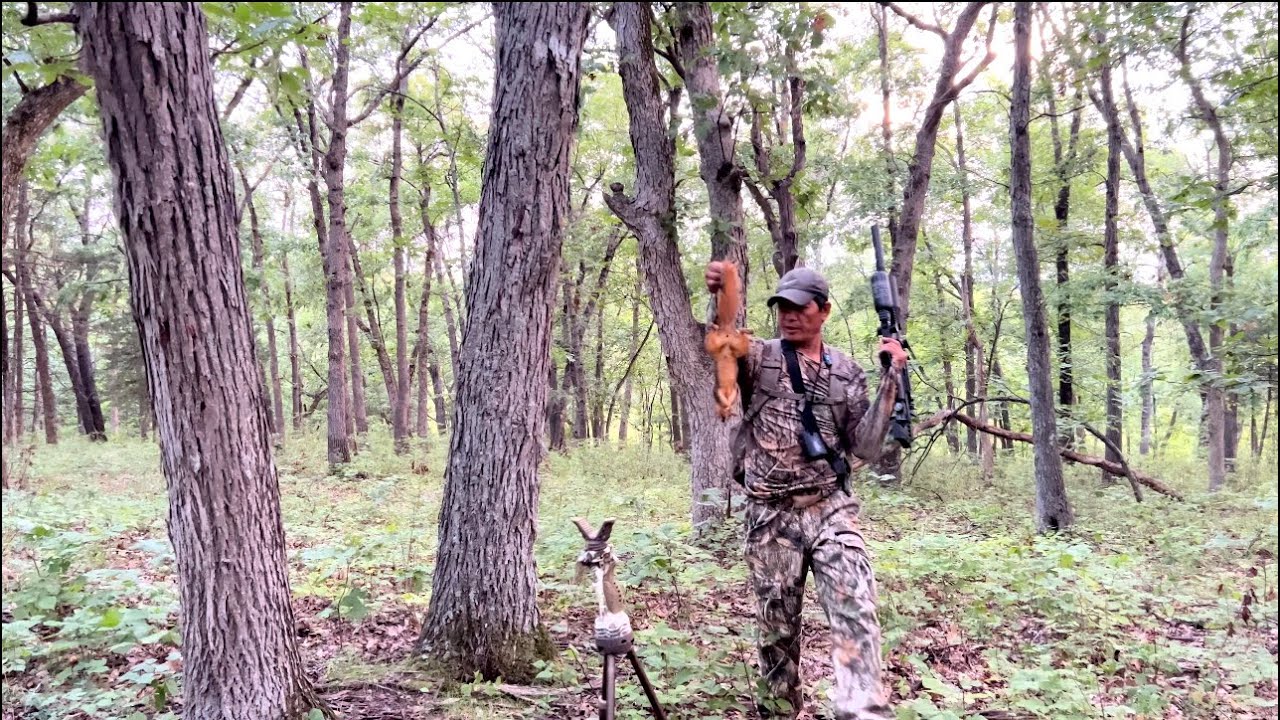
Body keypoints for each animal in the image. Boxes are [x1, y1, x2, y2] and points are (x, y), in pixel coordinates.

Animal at [703, 261, 751, 420]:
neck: (728, 390)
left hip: (712, 342)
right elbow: (725, 399)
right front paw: (729, 408)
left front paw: (729, 408)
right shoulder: (722, 390)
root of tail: (727, 330)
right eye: (722, 418)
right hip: (738, 345)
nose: (723, 420)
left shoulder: (729, 390)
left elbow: (727, 400)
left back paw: (713, 326)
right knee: (742, 340)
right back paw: (745, 331)